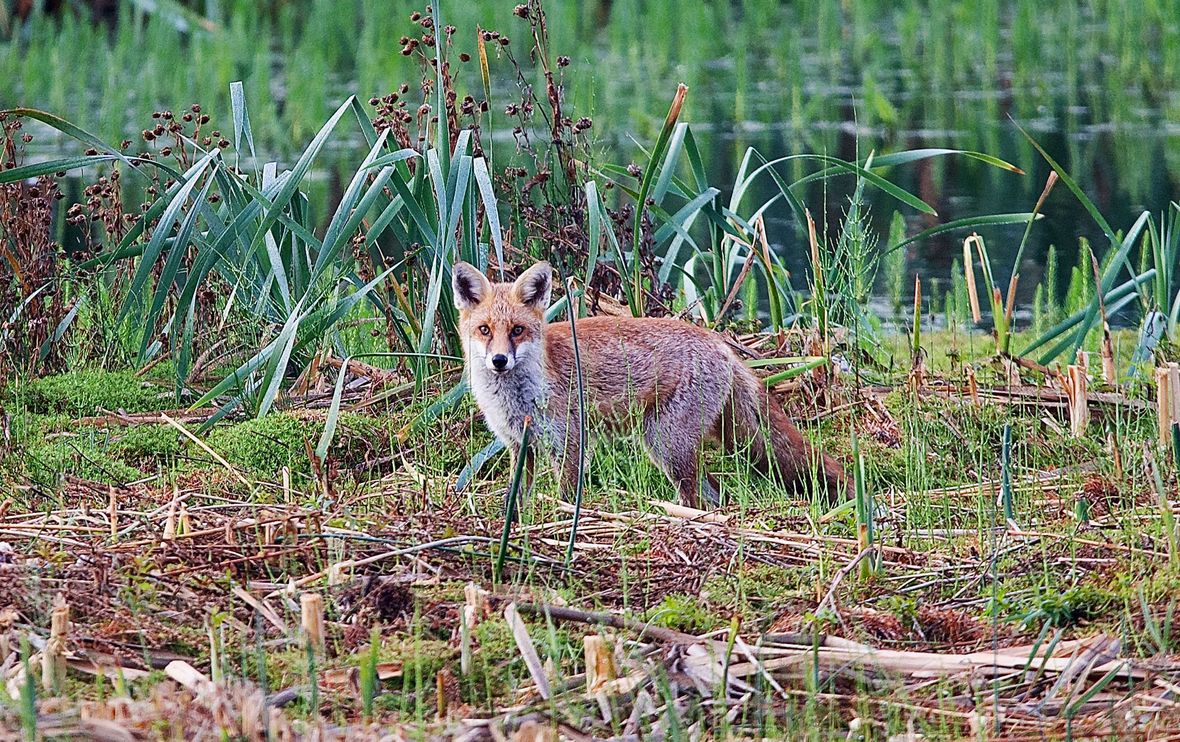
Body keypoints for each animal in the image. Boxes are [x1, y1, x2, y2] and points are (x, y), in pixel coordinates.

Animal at [452, 260, 849, 509]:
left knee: (698, 497)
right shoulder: (520, 447)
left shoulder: (570, 442)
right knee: (716, 494)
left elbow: (566, 496)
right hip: (671, 446)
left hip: (665, 445)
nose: (499, 361)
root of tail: (720, 343)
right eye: (484, 330)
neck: (519, 398)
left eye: (517, 330)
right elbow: (515, 497)